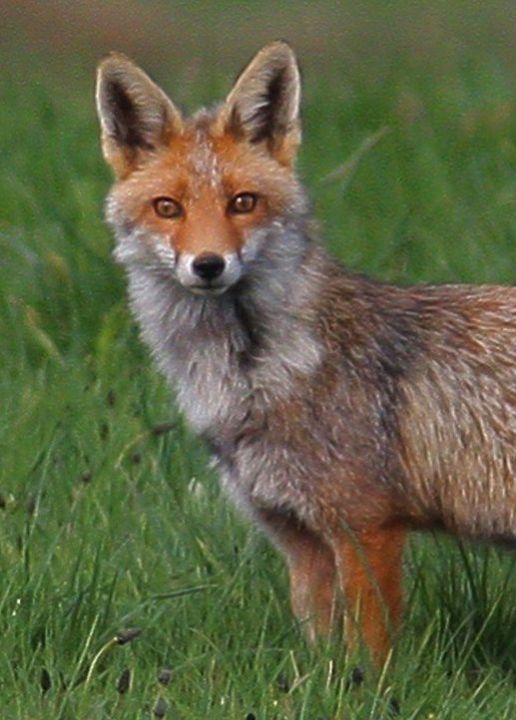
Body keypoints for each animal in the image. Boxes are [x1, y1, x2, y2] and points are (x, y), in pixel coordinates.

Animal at [95, 42, 516, 666]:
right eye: (167, 208)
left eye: (242, 202)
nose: (209, 265)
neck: (254, 377)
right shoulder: (298, 536)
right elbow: (321, 652)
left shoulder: (366, 526)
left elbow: (371, 656)